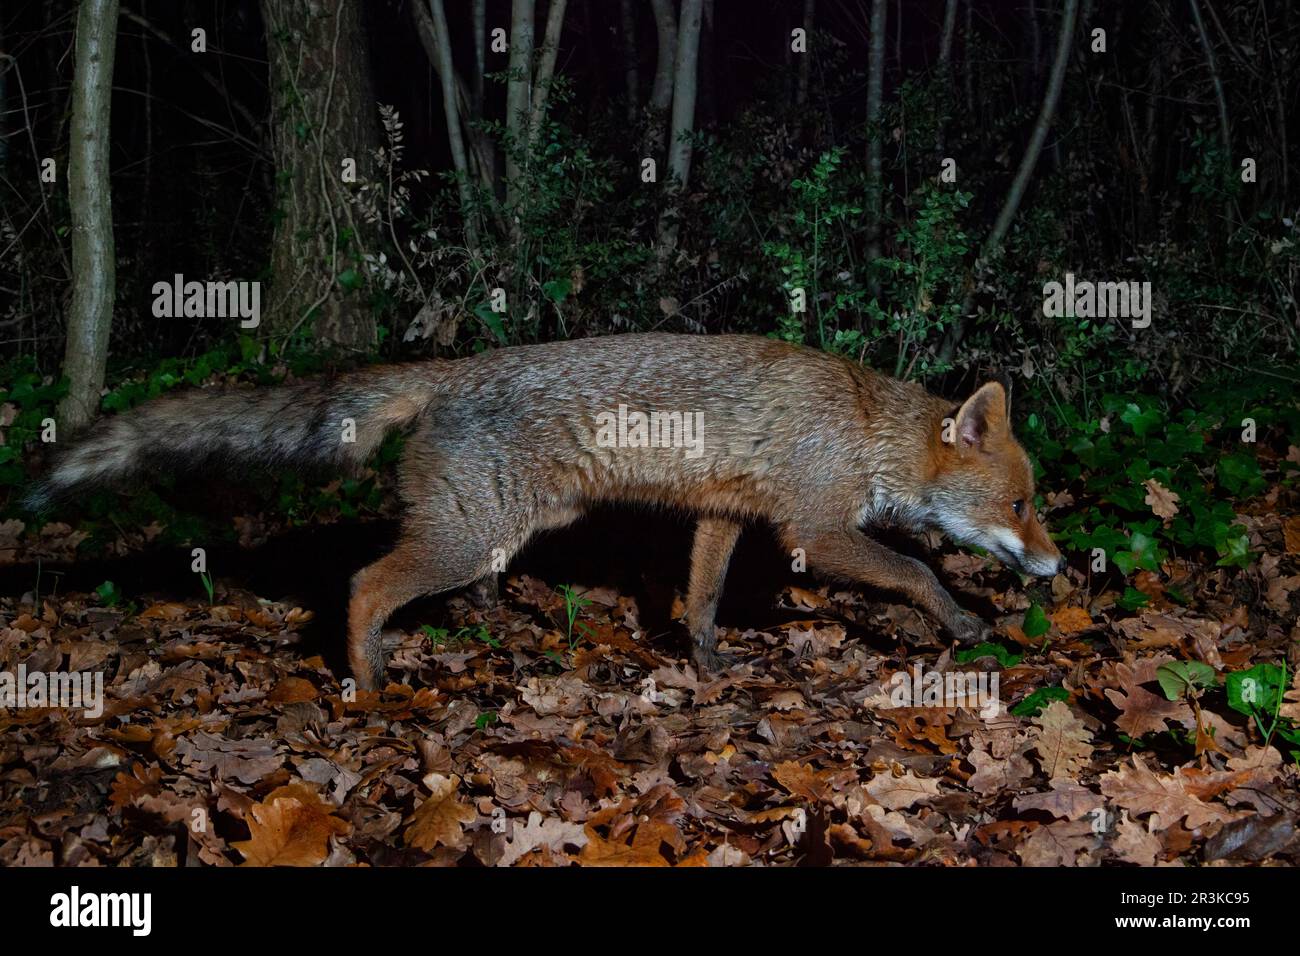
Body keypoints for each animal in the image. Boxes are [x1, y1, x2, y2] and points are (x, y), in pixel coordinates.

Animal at [26, 333, 1064, 689]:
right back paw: (365, 678)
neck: (861, 428)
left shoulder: (724, 516)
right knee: (361, 584)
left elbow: (702, 599)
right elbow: (916, 568)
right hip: (465, 536)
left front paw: (706, 663)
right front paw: (963, 623)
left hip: (493, 533)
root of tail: (451, 367)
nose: (1058, 567)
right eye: (1021, 503)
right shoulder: (813, 528)